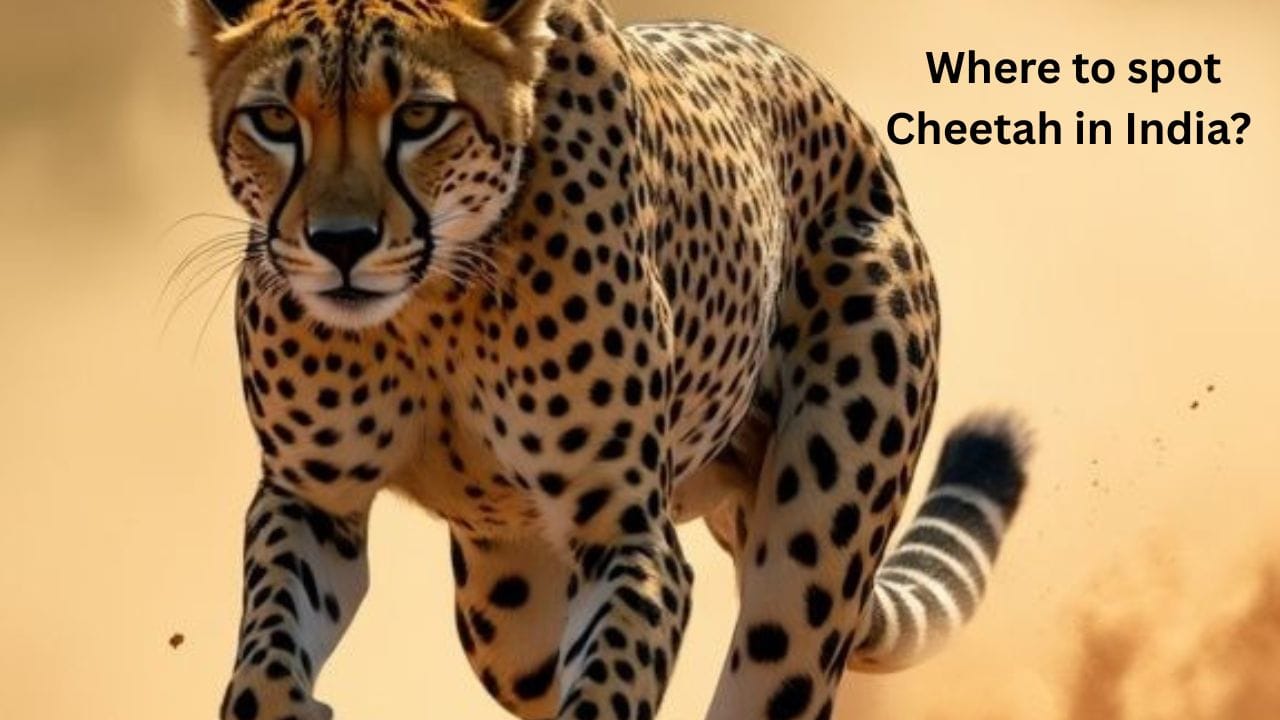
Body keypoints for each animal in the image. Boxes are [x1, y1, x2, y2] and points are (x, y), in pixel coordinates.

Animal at [181, 1, 1033, 718]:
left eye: (422, 116)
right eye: (274, 120)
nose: (341, 243)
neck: (432, 307)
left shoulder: (624, 530)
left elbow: (608, 686)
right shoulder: (311, 501)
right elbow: (263, 666)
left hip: (805, 567)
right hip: (505, 610)